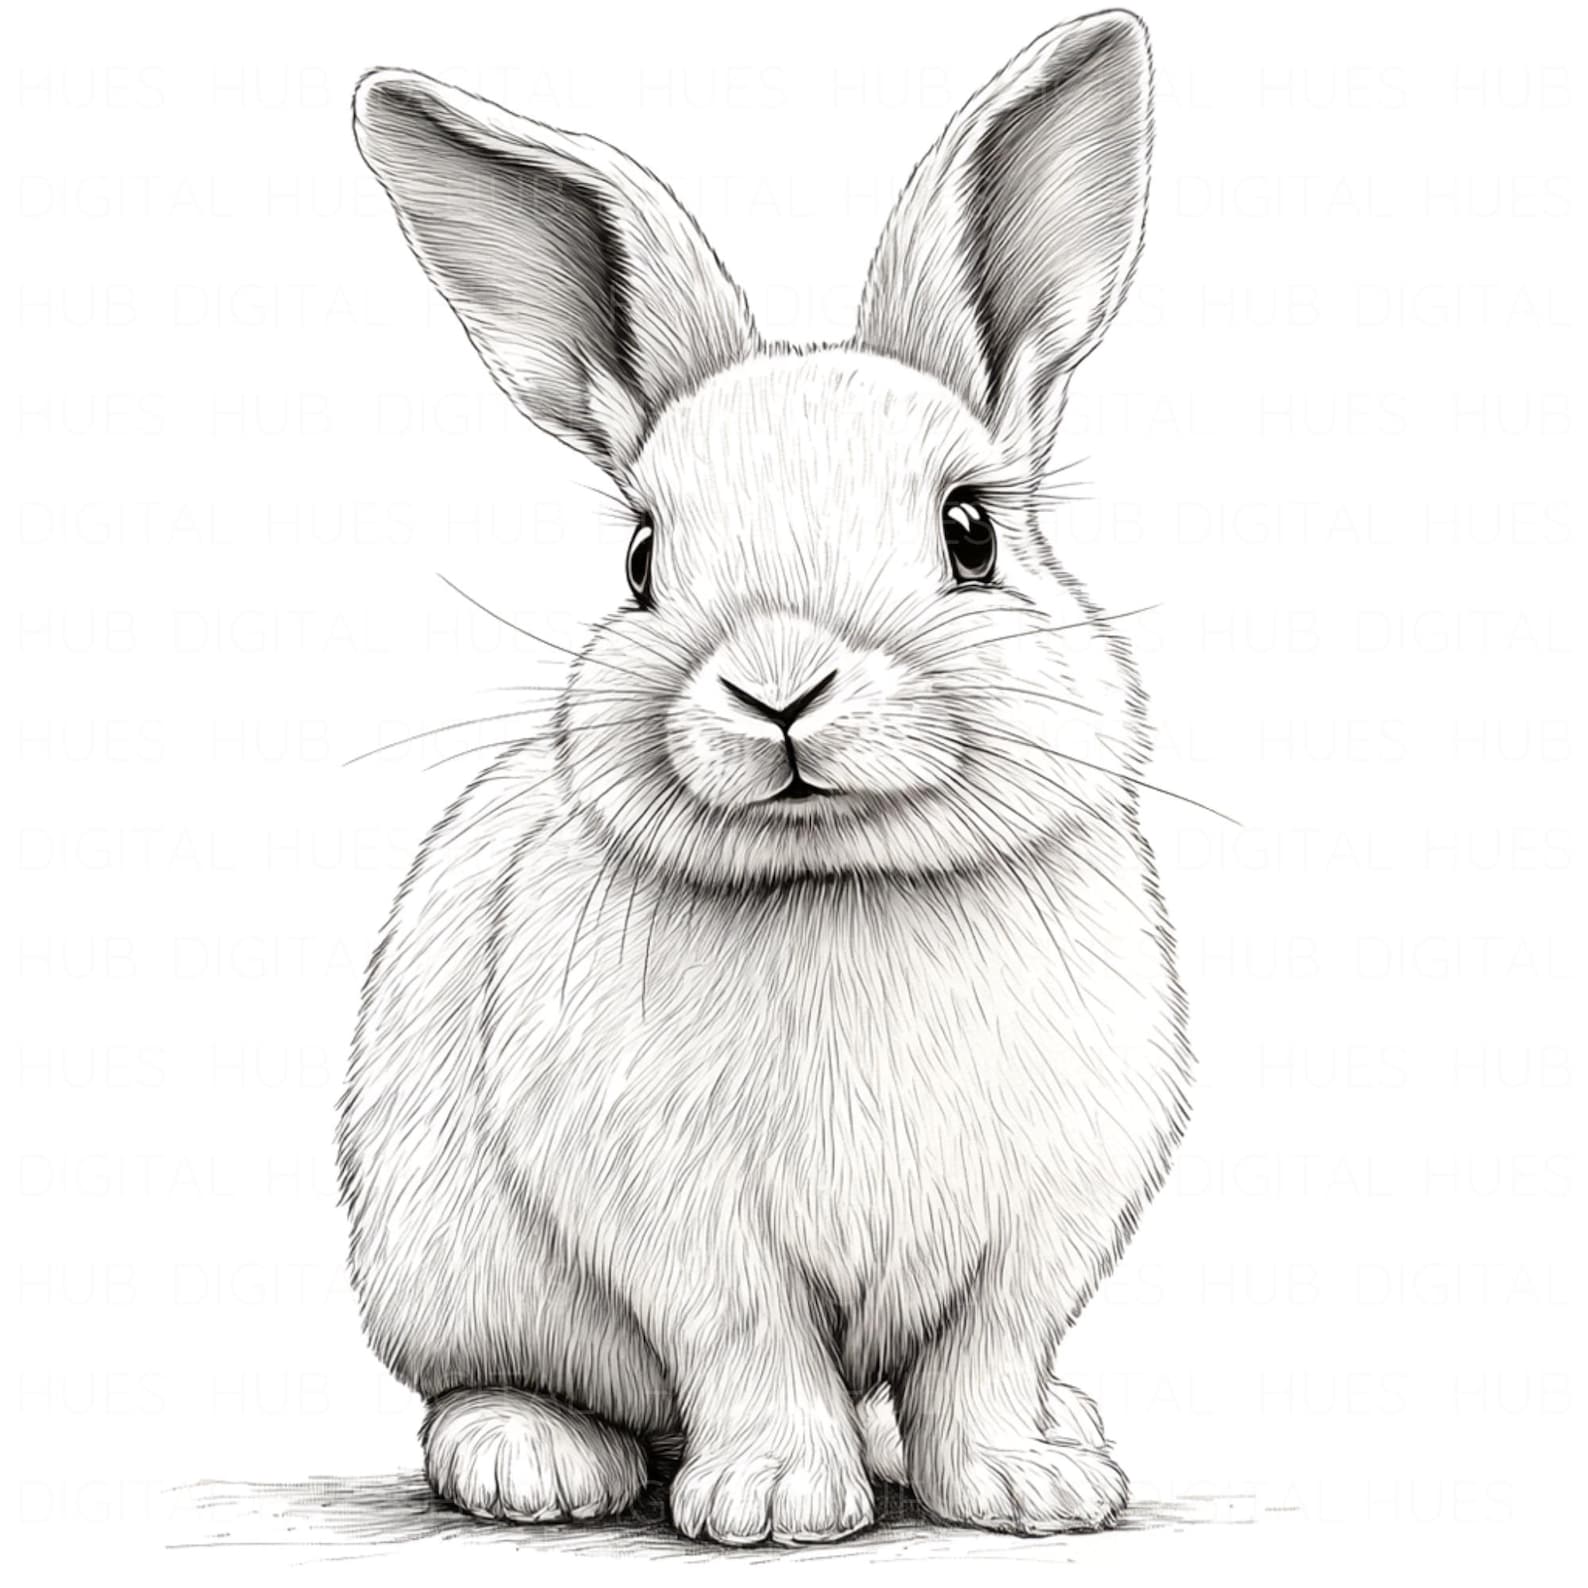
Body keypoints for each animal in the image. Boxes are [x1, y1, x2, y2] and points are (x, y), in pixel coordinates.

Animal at [340, 9, 1192, 1547]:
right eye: (639, 559)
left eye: (972, 532)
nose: (779, 683)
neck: (846, 882)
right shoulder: (681, 1223)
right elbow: (750, 1343)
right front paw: (778, 1501)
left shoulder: (1042, 1221)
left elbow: (983, 1359)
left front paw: (1025, 1486)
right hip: (445, 1277)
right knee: (487, 1382)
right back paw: (532, 1459)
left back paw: (1062, 1424)